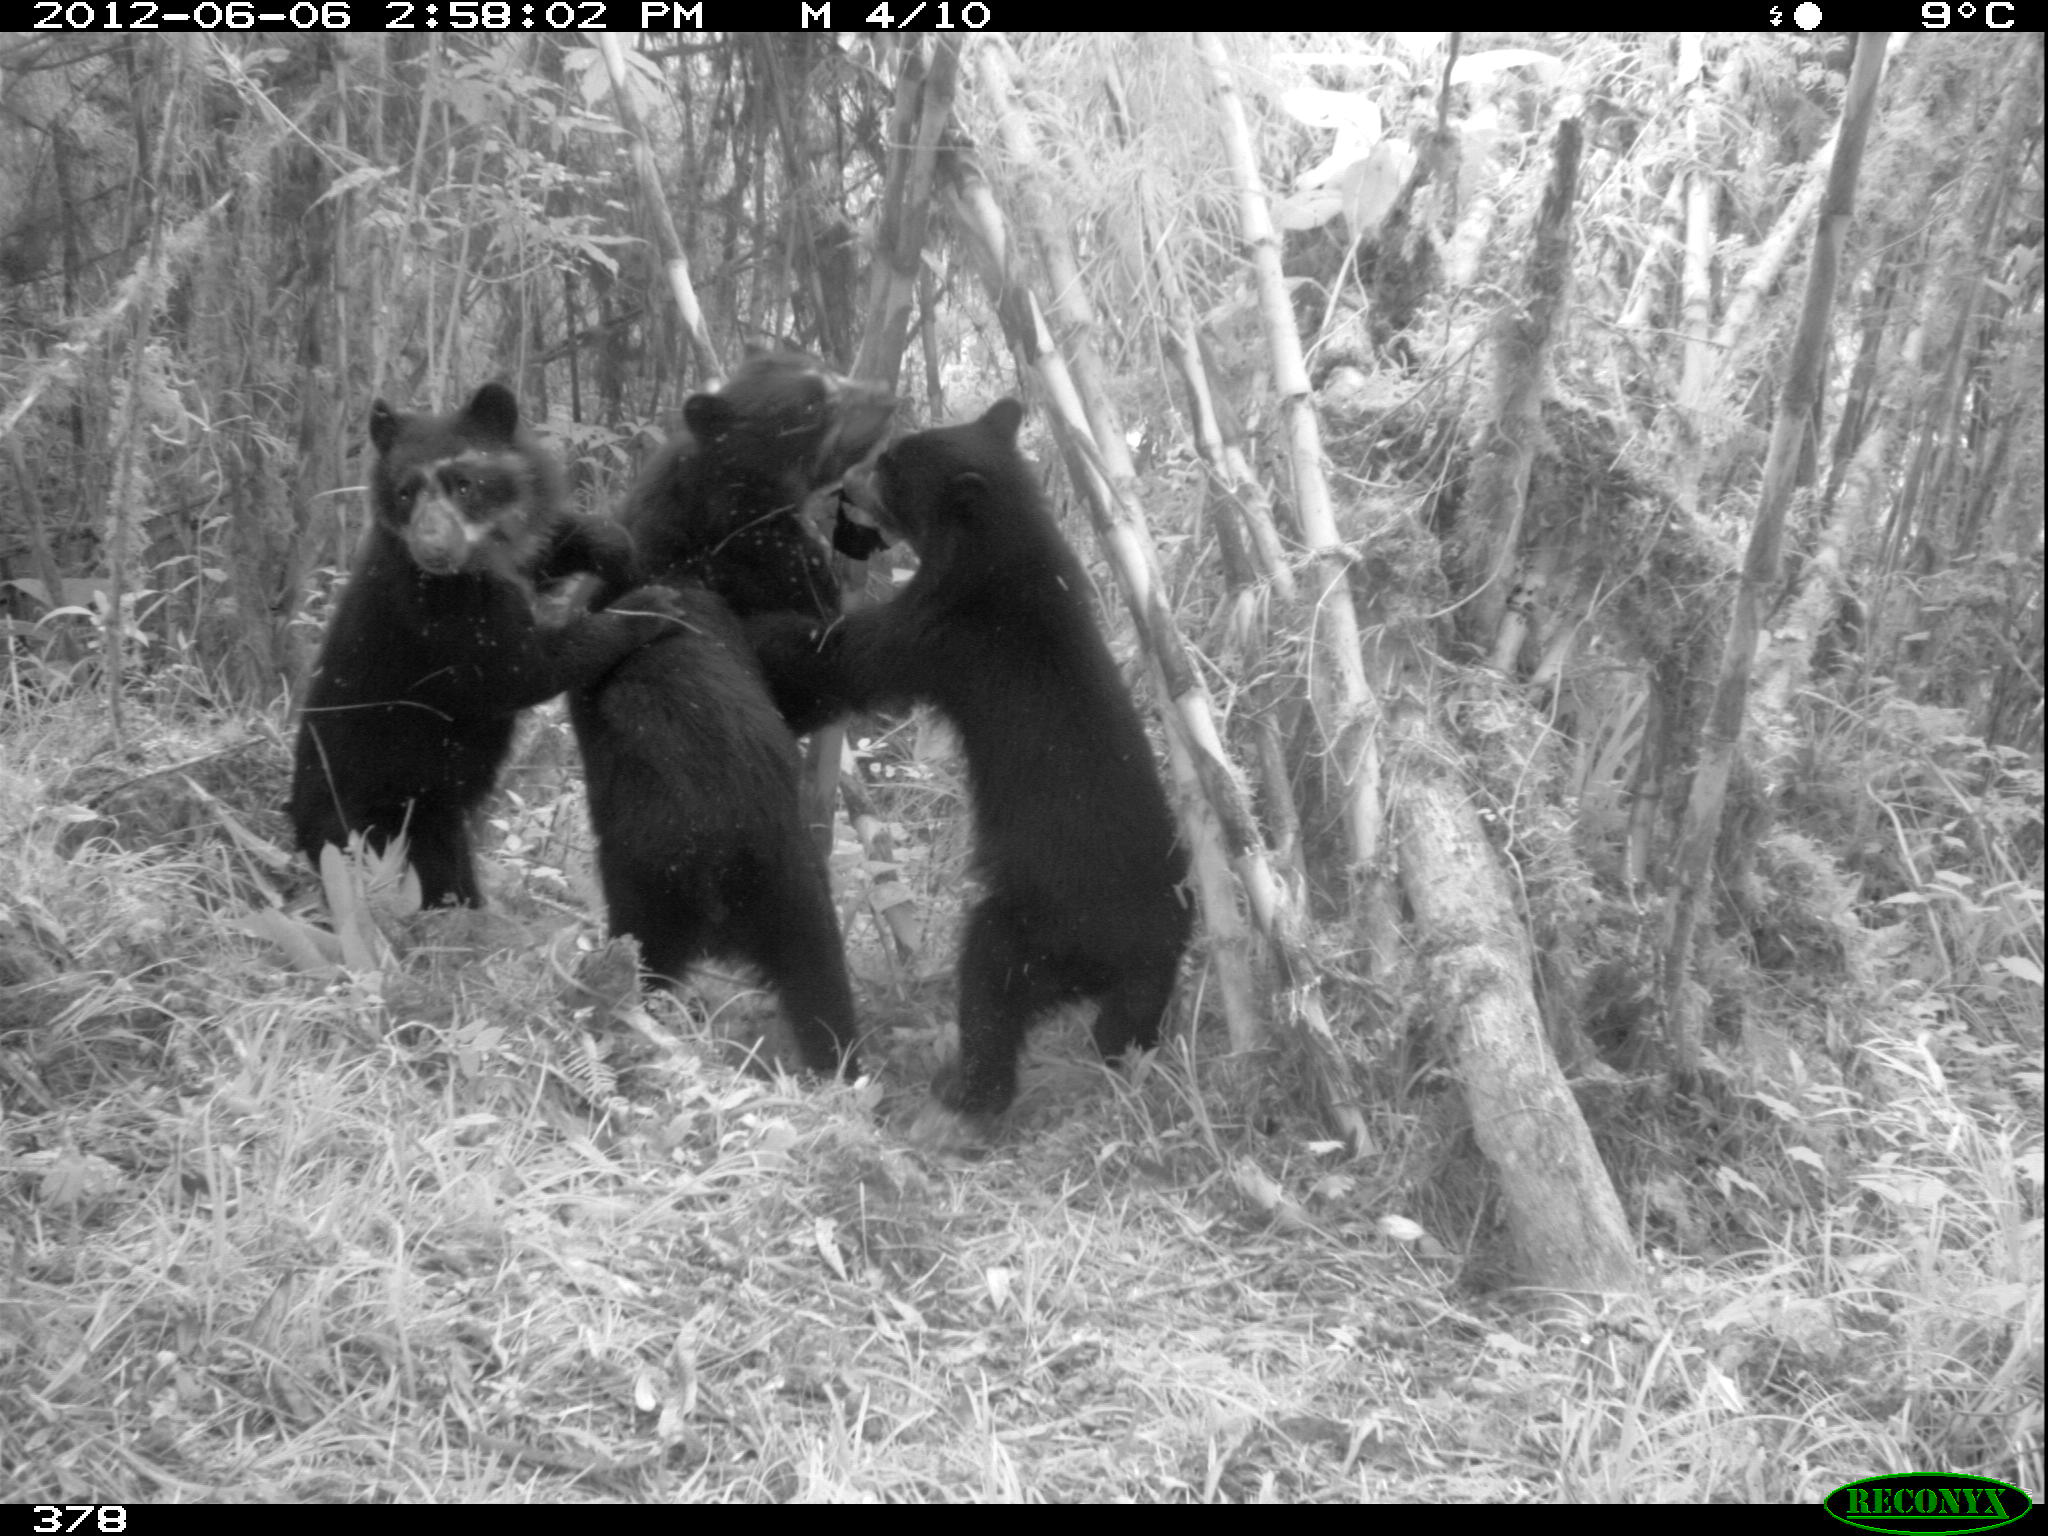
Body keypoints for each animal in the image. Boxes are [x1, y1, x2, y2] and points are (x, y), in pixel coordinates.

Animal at [289, 383, 677, 910]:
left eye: (464, 484)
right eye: (405, 493)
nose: (432, 549)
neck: (476, 559)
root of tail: (298, 825)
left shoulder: (514, 555)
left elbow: (551, 552)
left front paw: (614, 545)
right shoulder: (436, 612)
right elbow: (518, 670)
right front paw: (652, 605)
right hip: (378, 822)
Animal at [746, 399, 1191, 1131]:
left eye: (890, 469)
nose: (846, 480)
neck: (1003, 551)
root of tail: (1150, 938)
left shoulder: (947, 633)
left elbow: (845, 659)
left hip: (1036, 930)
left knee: (989, 985)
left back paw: (964, 1092)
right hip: (1140, 981)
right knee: (1125, 1029)